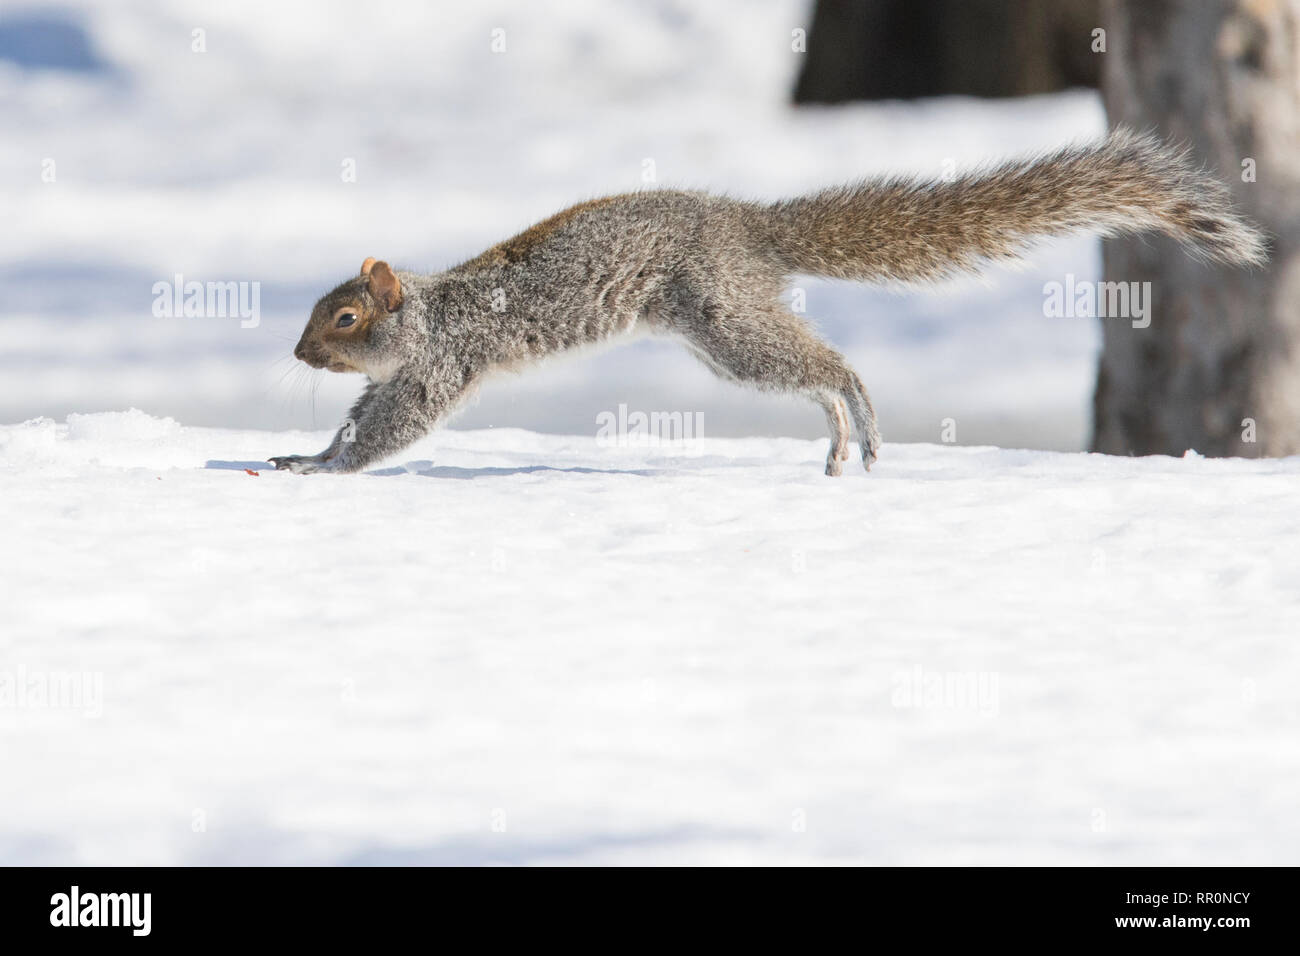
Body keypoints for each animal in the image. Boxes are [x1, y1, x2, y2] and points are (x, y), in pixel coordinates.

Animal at [270, 129, 1266, 477]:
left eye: (345, 319)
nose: (297, 357)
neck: (428, 312)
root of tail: (749, 227)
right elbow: (360, 415)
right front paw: (305, 451)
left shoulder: (440, 364)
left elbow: (391, 426)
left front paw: (327, 470)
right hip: (726, 328)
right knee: (813, 372)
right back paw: (837, 441)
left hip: (724, 322)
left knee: (832, 365)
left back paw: (860, 423)